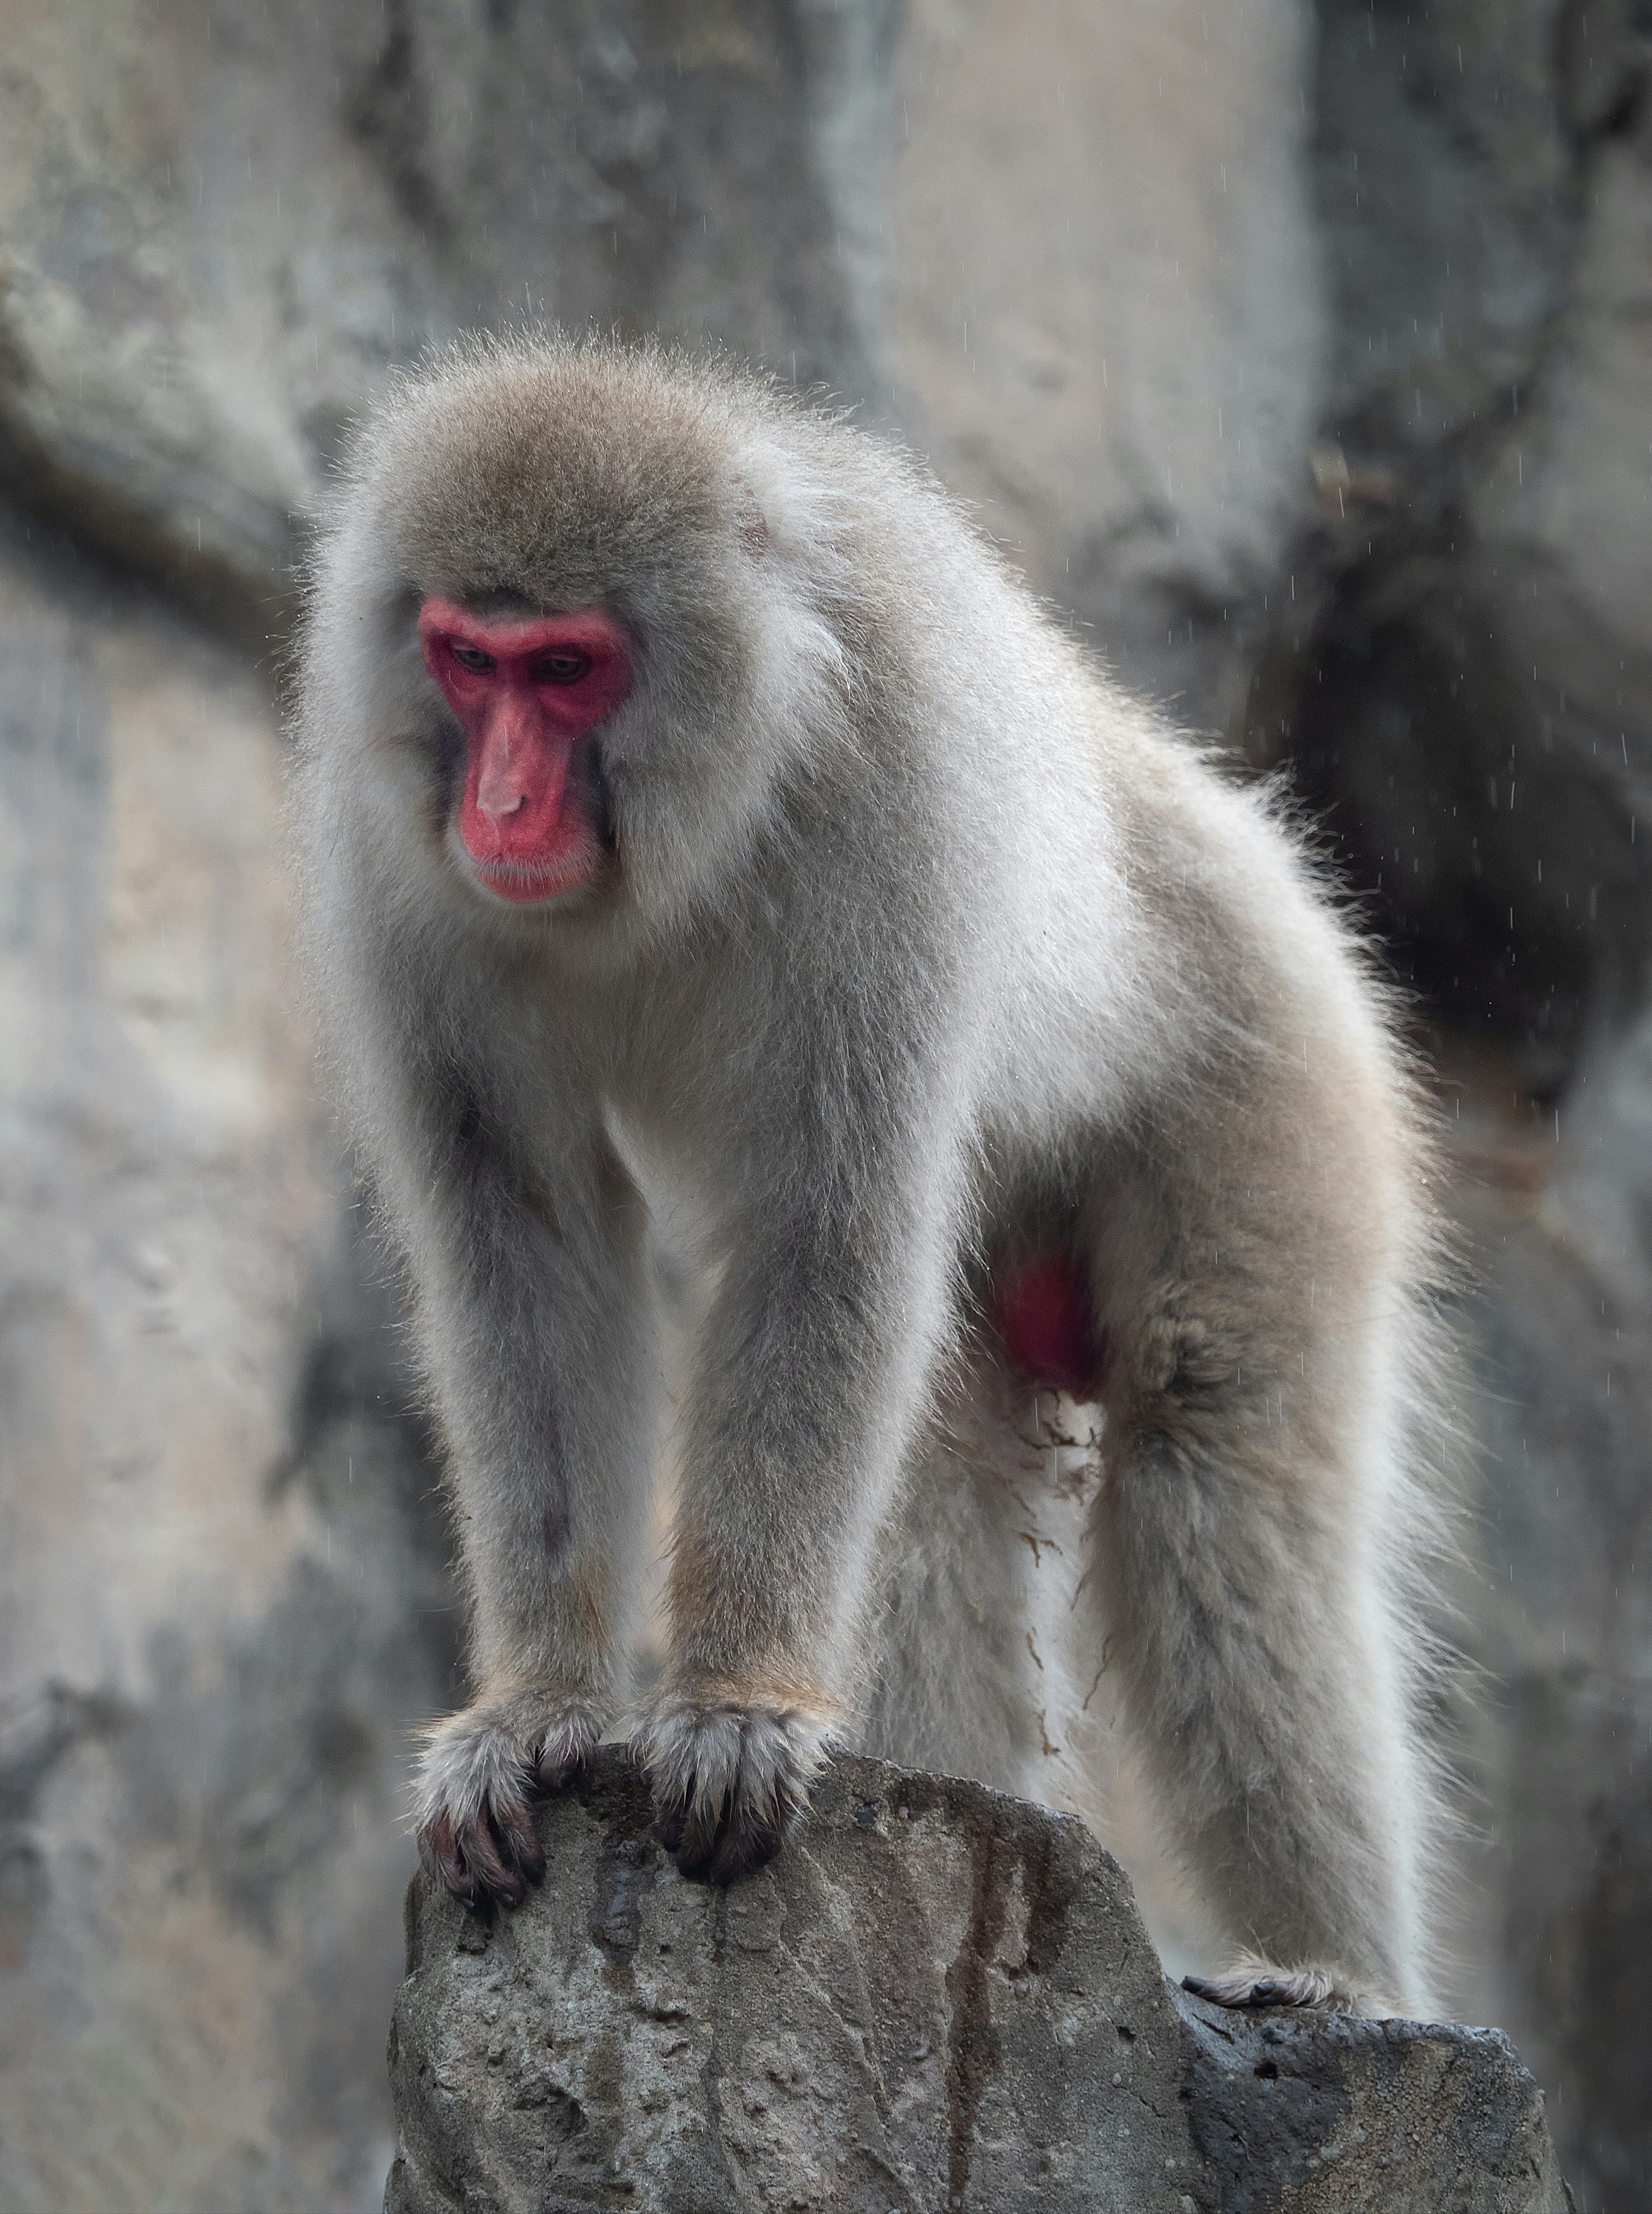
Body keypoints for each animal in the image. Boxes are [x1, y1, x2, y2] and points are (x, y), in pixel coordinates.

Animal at [290, 332, 1452, 2017]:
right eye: (465, 659)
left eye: (566, 667)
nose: (497, 804)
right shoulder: (394, 864)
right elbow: (521, 1243)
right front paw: (540, 1703)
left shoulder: (888, 804)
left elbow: (825, 1223)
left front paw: (733, 1702)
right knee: (945, 1458)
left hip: (1278, 1067)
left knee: (1218, 1473)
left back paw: (1329, 1979)